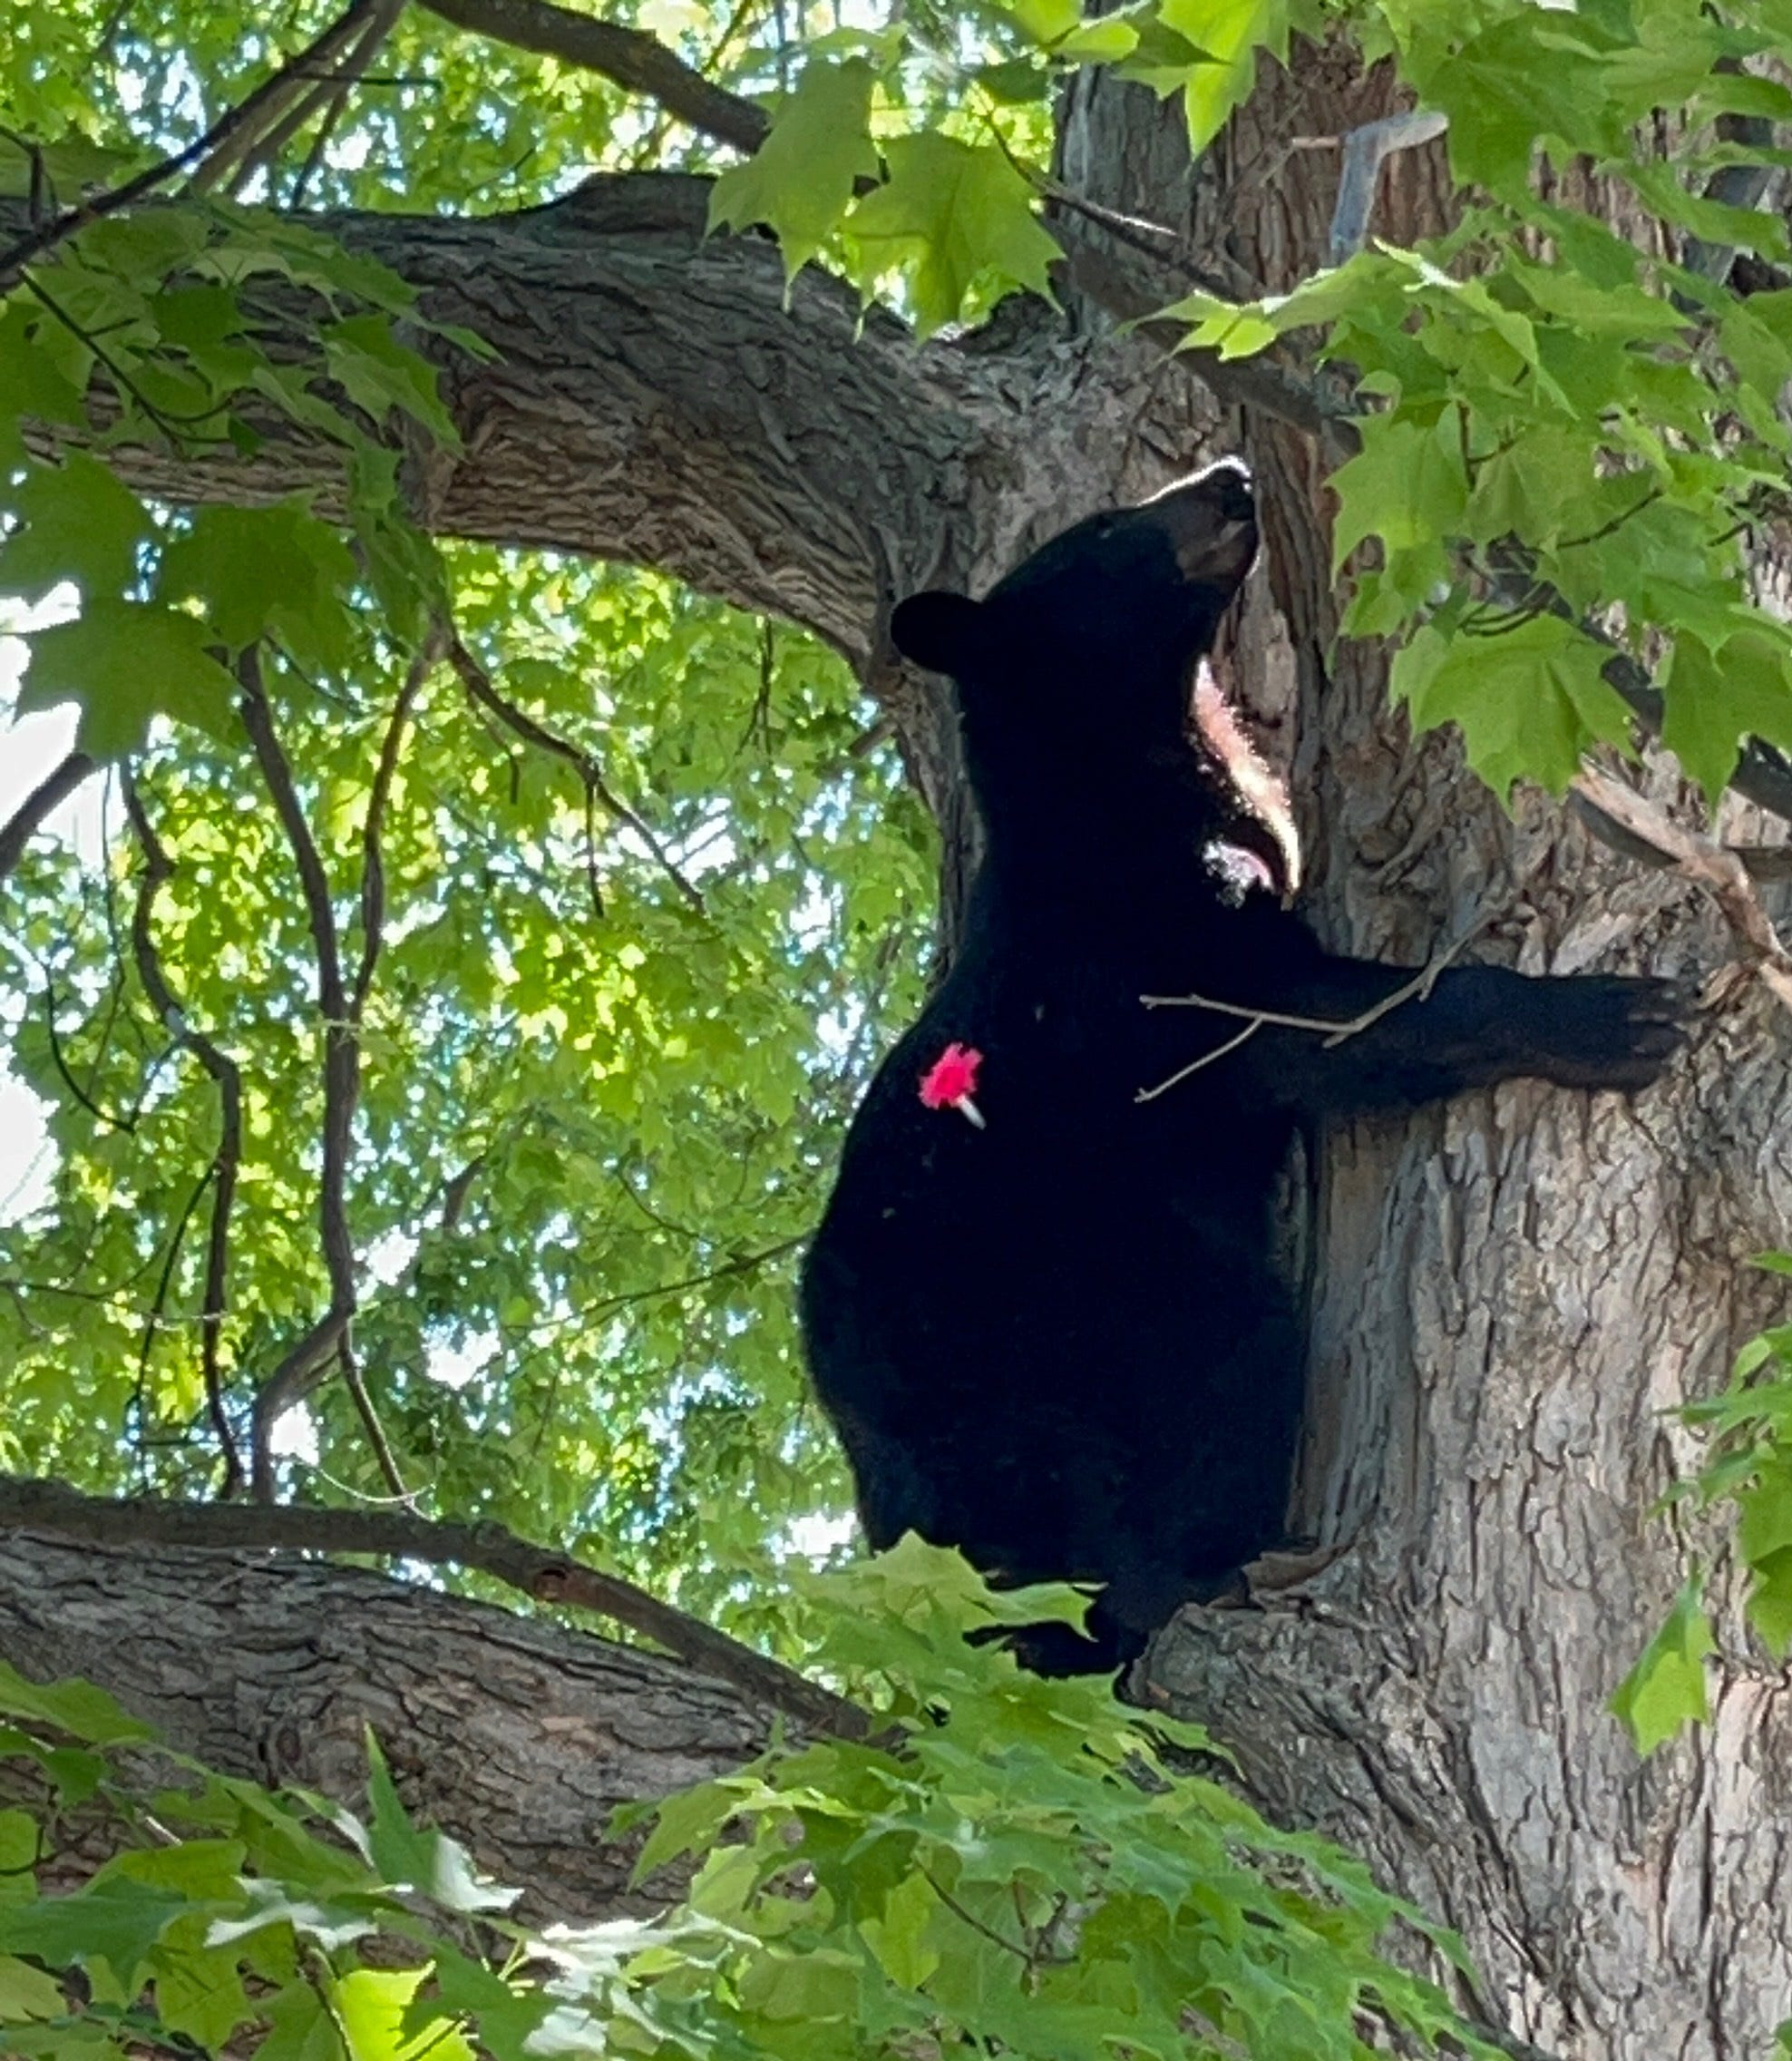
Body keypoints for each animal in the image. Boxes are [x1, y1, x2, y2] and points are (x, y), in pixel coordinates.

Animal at [798, 458, 1687, 1675]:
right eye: (1108, 530)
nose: (1226, 478)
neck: (1138, 774)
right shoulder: (1154, 954)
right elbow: (1336, 1023)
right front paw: (1613, 1017)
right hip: (1053, 1313)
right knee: (1195, 1395)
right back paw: (1187, 1575)